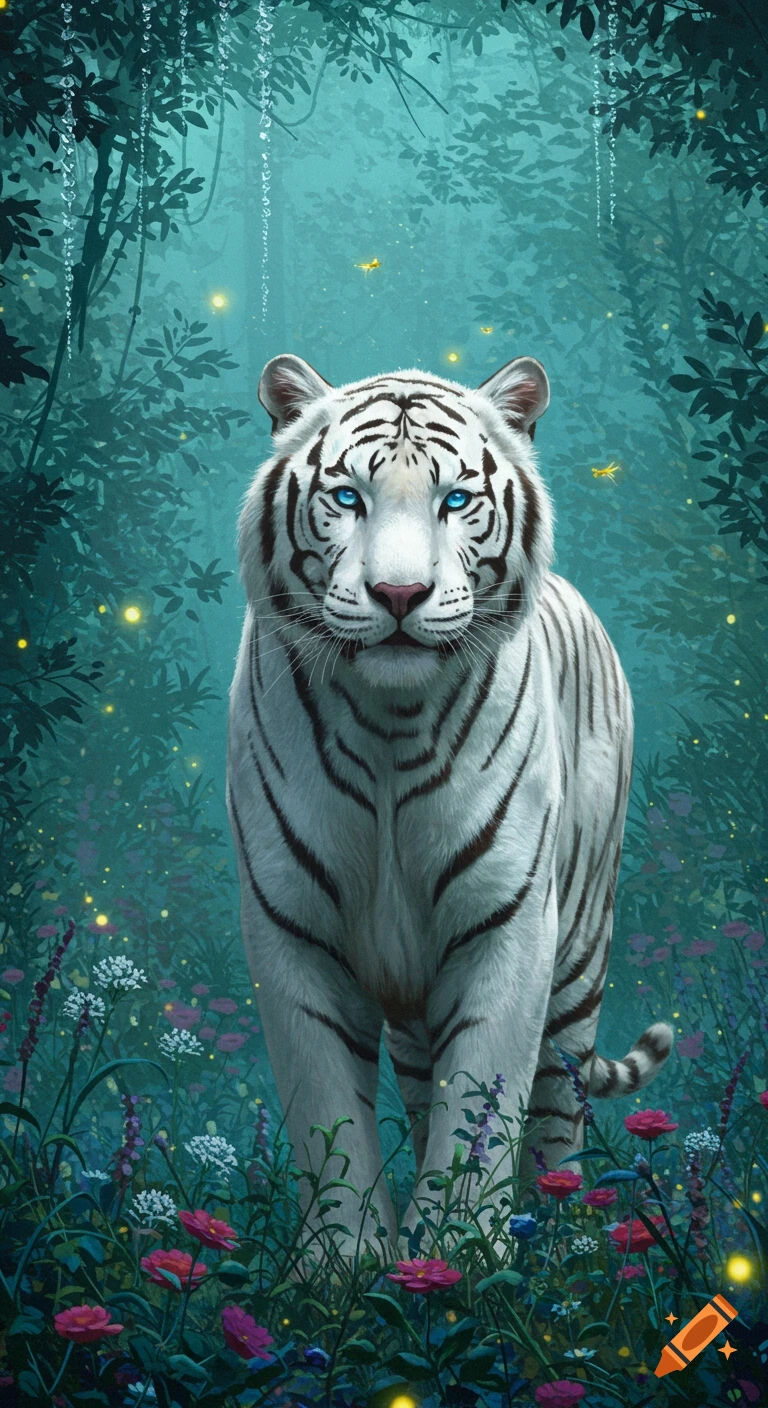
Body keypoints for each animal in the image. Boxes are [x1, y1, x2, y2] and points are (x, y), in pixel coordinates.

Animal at [227, 352, 673, 1265]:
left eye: (456, 501)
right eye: (348, 497)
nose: (399, 594)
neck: (389, 725)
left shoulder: (508, 923)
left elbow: (485, 1097)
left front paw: (458, 1255)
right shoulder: (292, 926)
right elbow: (327, 1105)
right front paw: (347, 1263)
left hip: (580, 958)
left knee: (557, 1111)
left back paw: (565, 1238)